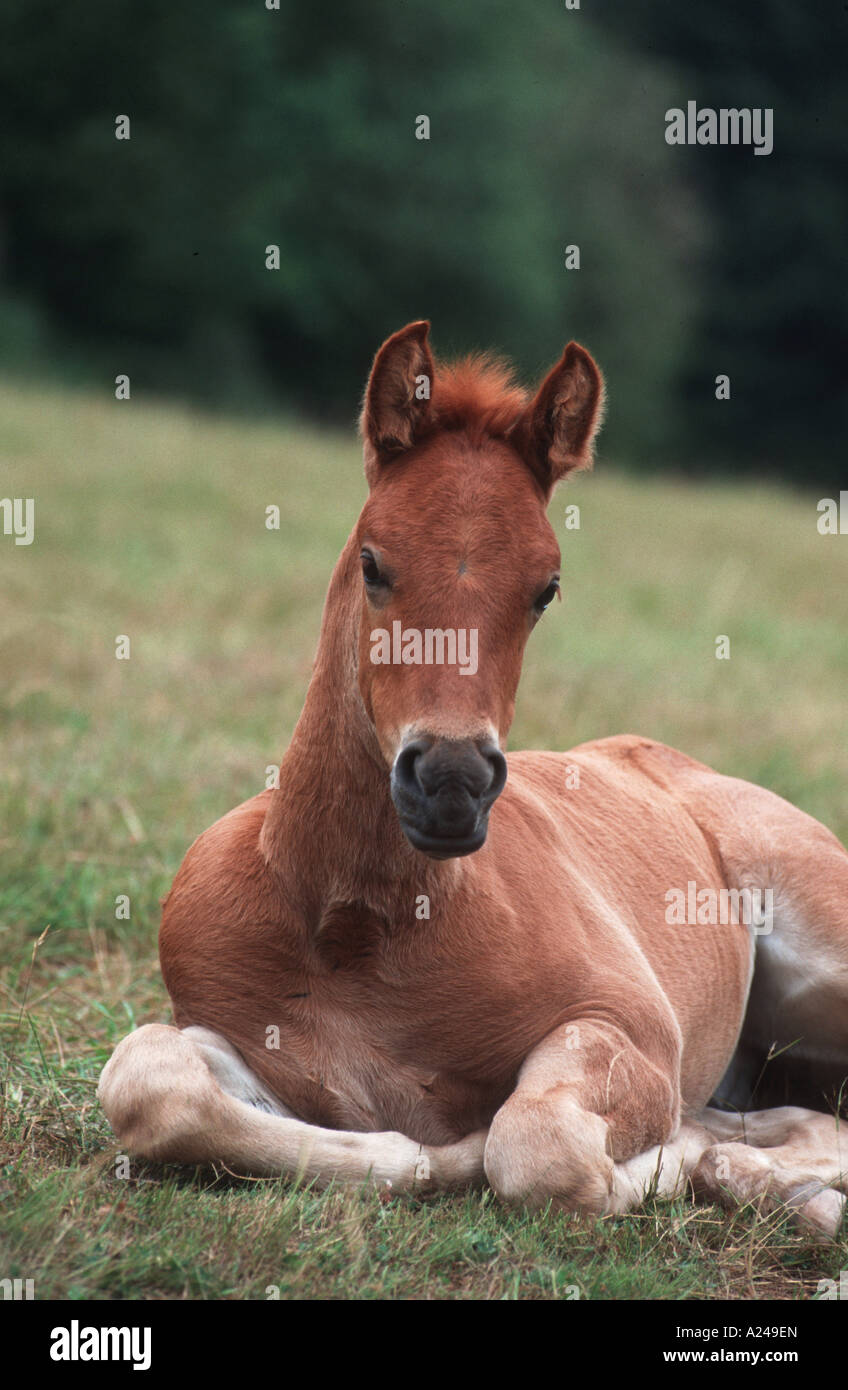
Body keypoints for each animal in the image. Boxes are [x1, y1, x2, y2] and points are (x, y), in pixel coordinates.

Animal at [98, 321, 848, 1237]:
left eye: (547, 588)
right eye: (374, 562)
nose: (450, 781)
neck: (359, 927)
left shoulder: (633, 1028)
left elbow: (536, 1146)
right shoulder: (229, 1030)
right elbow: (148, 1083)